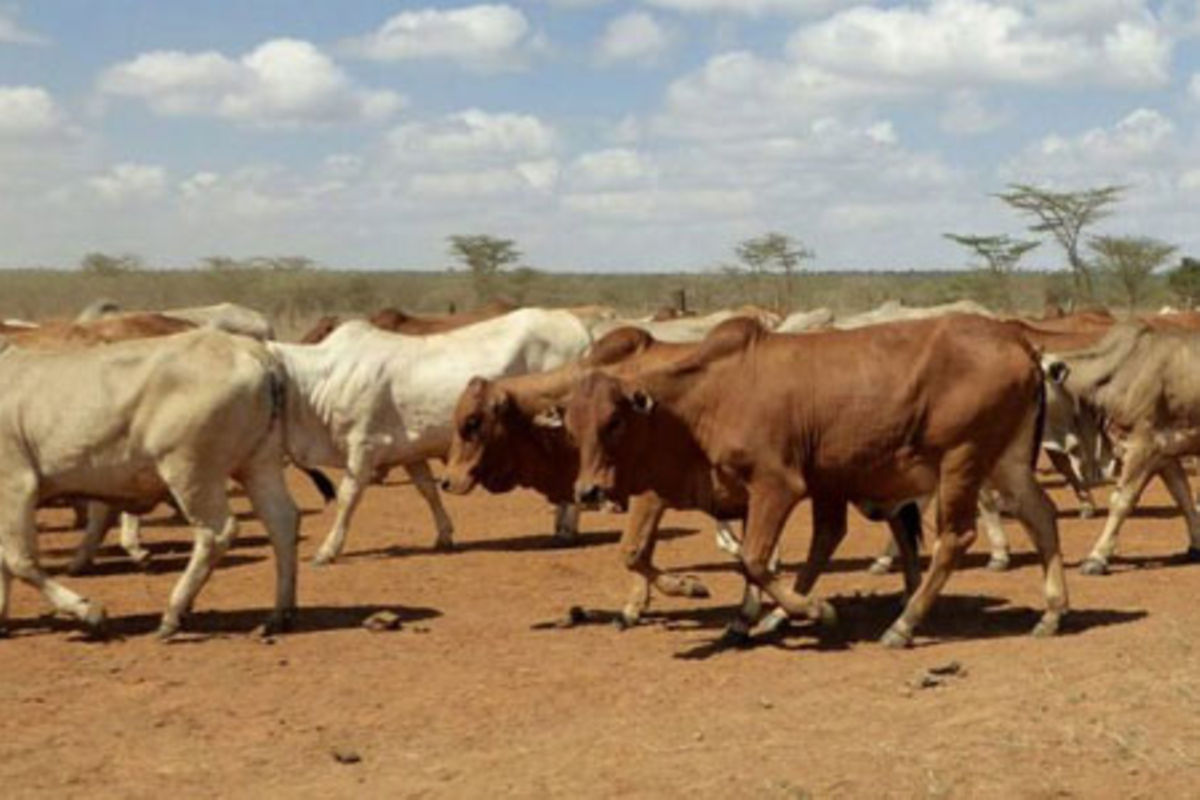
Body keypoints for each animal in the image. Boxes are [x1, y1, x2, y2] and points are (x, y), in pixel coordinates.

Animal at [0, 329, 299, 638]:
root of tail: (244, 346)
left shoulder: (15, 484)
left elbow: (18, 560)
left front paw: (88, 610)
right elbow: (6, 562)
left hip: (191, 470)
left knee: (216, 533)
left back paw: (173, 613)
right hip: (259, 463)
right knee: (282, 521)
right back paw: (279, 615)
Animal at [270, 308, 593, 564]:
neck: (322, 379)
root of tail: (576, 326)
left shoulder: (364, 446)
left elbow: (347, 497)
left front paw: (328, 550)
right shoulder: (409, 452)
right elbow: (428, 490)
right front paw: (444, 534)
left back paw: (568, 529)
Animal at [561, 315, 1068, 647]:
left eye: (614, 421)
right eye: (570, 424)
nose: (587, 491)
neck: (709, 398)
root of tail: (1019, 343)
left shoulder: (777, 485)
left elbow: (754, 560)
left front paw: (813, 610)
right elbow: (752, 560)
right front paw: (752, 615)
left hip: (962, 458)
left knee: (955, 537)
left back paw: (903, 625)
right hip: (1006, 460)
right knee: (1041, 514)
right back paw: (1052, 612)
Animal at [1045, 322, 1200, 574]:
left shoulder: (1142, 446)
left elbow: (1121, 501)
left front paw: (1097, 557)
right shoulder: (1165, 453)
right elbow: (1183, 496)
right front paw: (1195, 545)